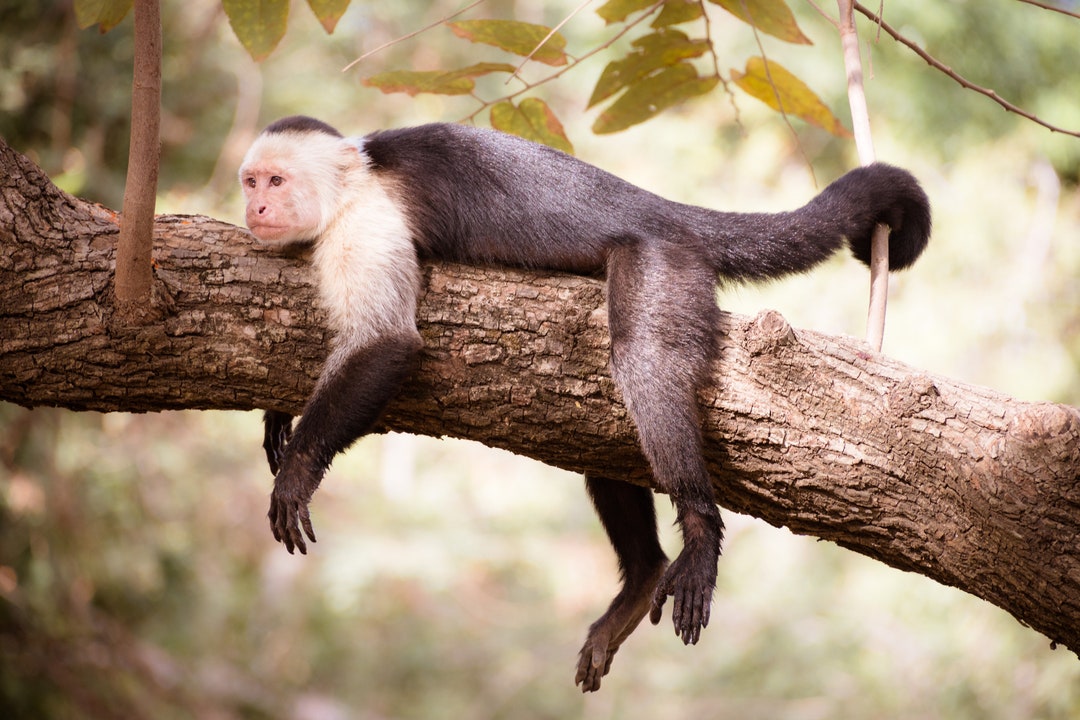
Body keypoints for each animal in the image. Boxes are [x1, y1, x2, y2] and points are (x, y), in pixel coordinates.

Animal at [239, 115, 931, 692]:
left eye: (276, 179)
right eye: (249, 182)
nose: (257, 206)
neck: (356, 180)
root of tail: (668, 213)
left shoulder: (367, 222)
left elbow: (387, 342)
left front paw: (300, 468)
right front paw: (280, 414)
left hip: (663, 262)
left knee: (644, 366)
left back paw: (699, 526)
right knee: (601, 437)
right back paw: (643, 575)